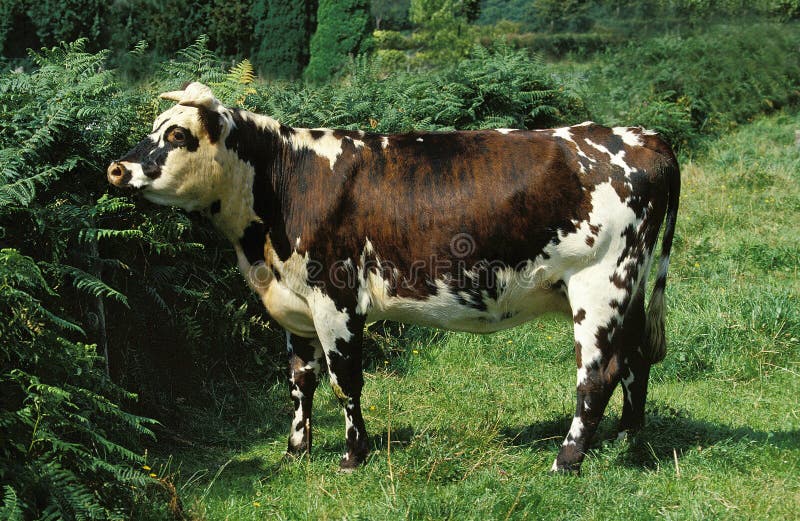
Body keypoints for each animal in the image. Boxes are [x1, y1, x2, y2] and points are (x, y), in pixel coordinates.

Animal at [107, 82, 680, 473]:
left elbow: (344, 380)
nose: (117, 168)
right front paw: (296, 452)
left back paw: (567, 459)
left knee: (598, 374)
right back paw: (628, 438)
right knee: (634, 361)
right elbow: (299, 381)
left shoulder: (336, 296)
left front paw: (352, 456)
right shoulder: (295, 306)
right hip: (625, 289)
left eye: (176, 134)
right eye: (153, 128)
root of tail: (643, 135)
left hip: (599, 285)